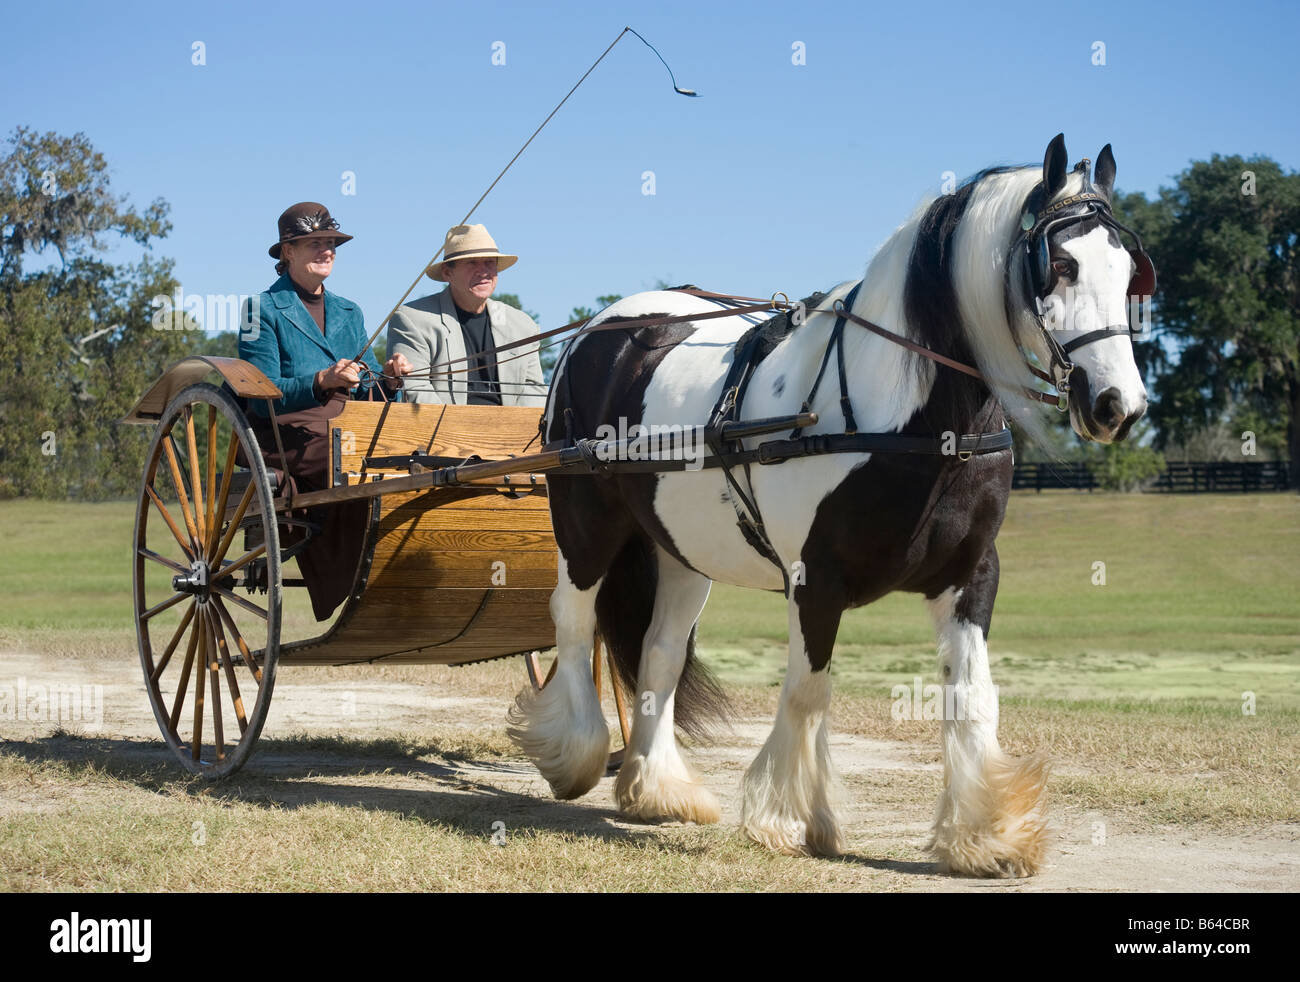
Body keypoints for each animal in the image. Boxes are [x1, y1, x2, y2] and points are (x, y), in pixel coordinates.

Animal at [507, 134, 1154, 877]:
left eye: (1130, 272)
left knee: (659, 653)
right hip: (585, 522)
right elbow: (808, 691)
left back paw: (656, 787)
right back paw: (575, 754)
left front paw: (984, 833)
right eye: (1062, 265)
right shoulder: (815, 579)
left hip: (681, 552)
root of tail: (604, 326)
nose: (1118, 404)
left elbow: (971, 696)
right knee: (573, 618)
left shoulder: (971, 576)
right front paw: (791, 818)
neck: (911, 420)